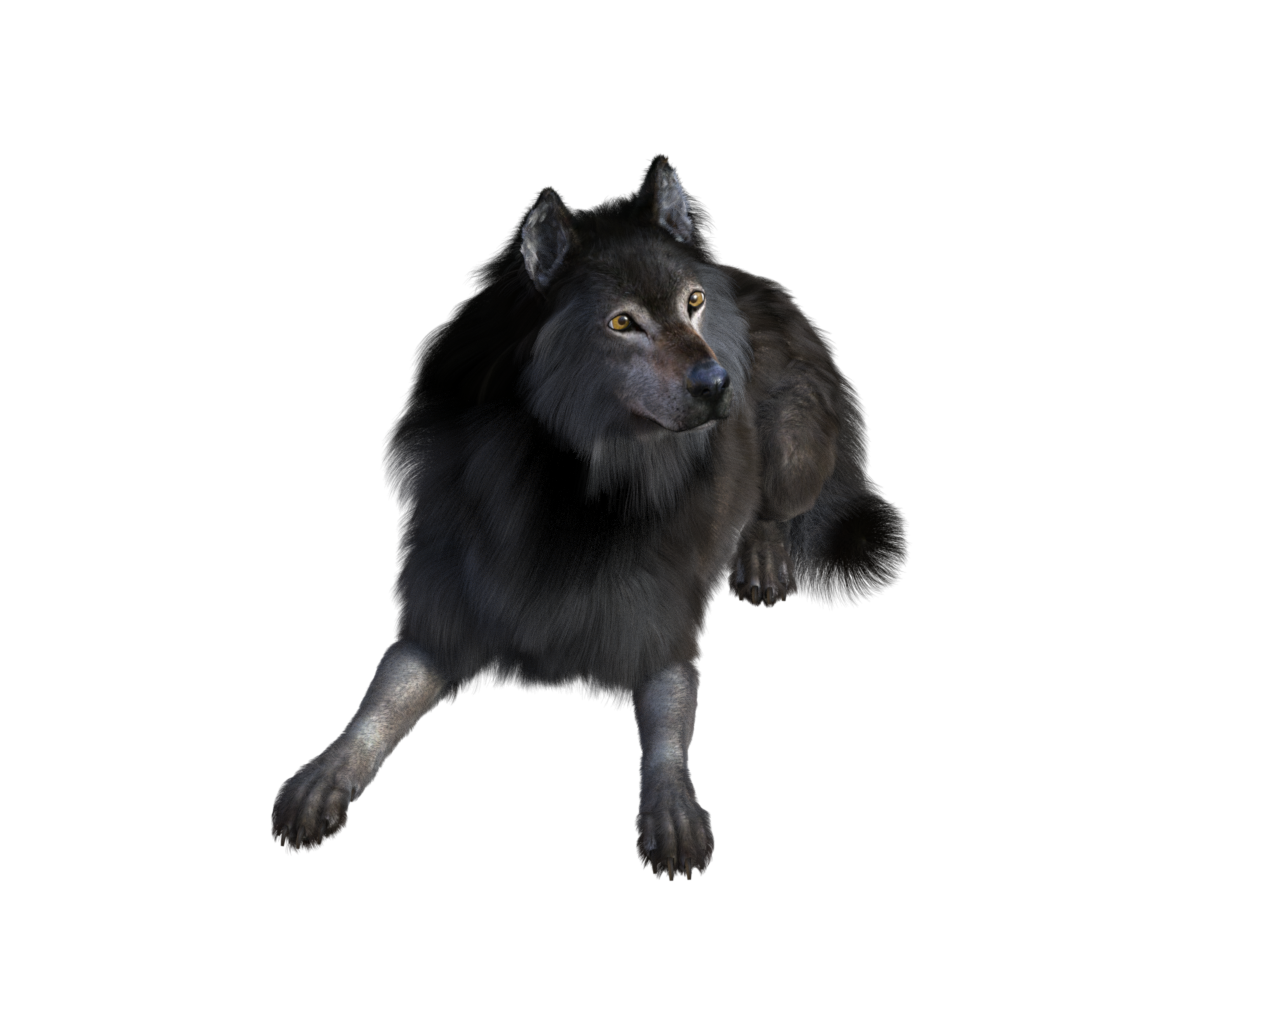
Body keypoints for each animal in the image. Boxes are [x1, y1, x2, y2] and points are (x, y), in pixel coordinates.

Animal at [271, 156, 904, 879]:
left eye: (692, 303)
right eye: (623, 323)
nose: (718, 384)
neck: (578, 487)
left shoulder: (663, 633)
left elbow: (667, 735)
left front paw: (673, 812)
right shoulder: (444, 617)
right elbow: (373, 708)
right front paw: (321, 777)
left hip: (792, 441)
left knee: (782, 506)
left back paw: (764, 560)